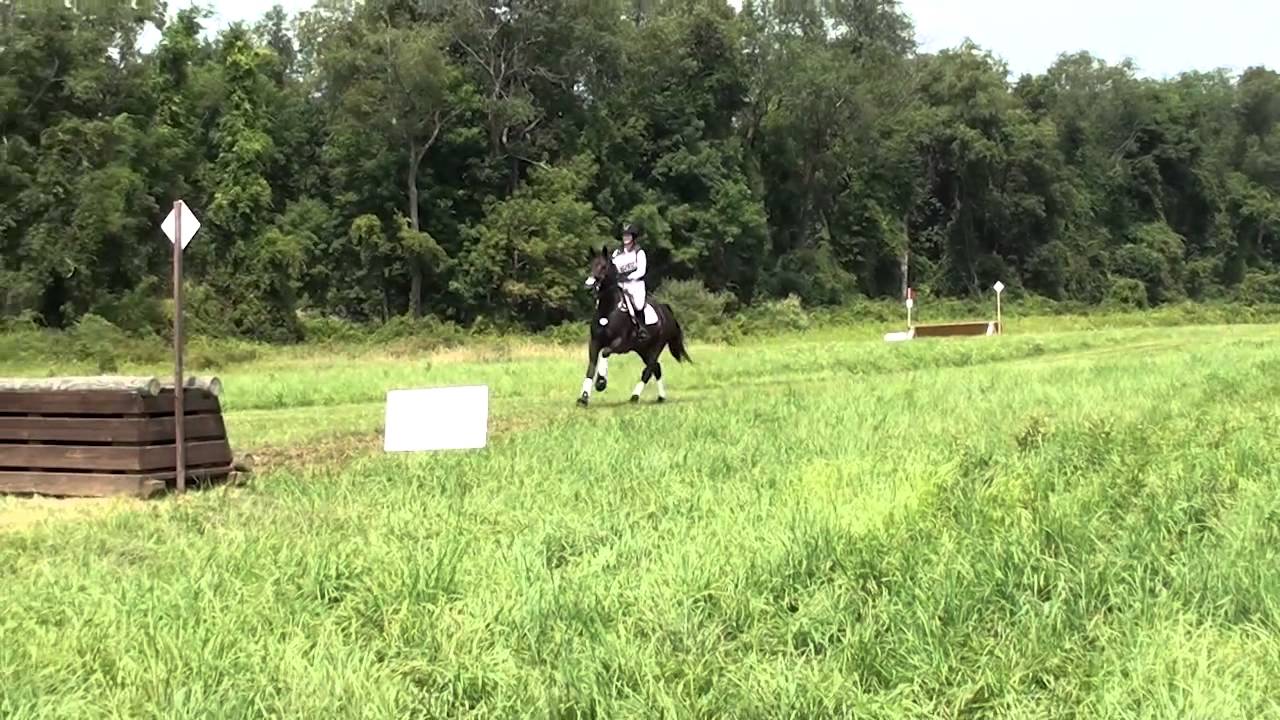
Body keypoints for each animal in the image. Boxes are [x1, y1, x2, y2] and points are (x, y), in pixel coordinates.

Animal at [577, 245, 691, 406]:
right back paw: (660, 397)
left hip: (655, 347)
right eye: (591, 266)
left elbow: (605, 352)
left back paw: (635, 396)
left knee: (649, 369)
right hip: (642, 349)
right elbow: (591, 367)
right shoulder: (594, 342)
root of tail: (665, 311)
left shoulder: (620, 344)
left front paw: (601, 382)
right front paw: (584, 398)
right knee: (656, 368)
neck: (609, 310)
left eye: (603, 266)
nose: (588, 287)